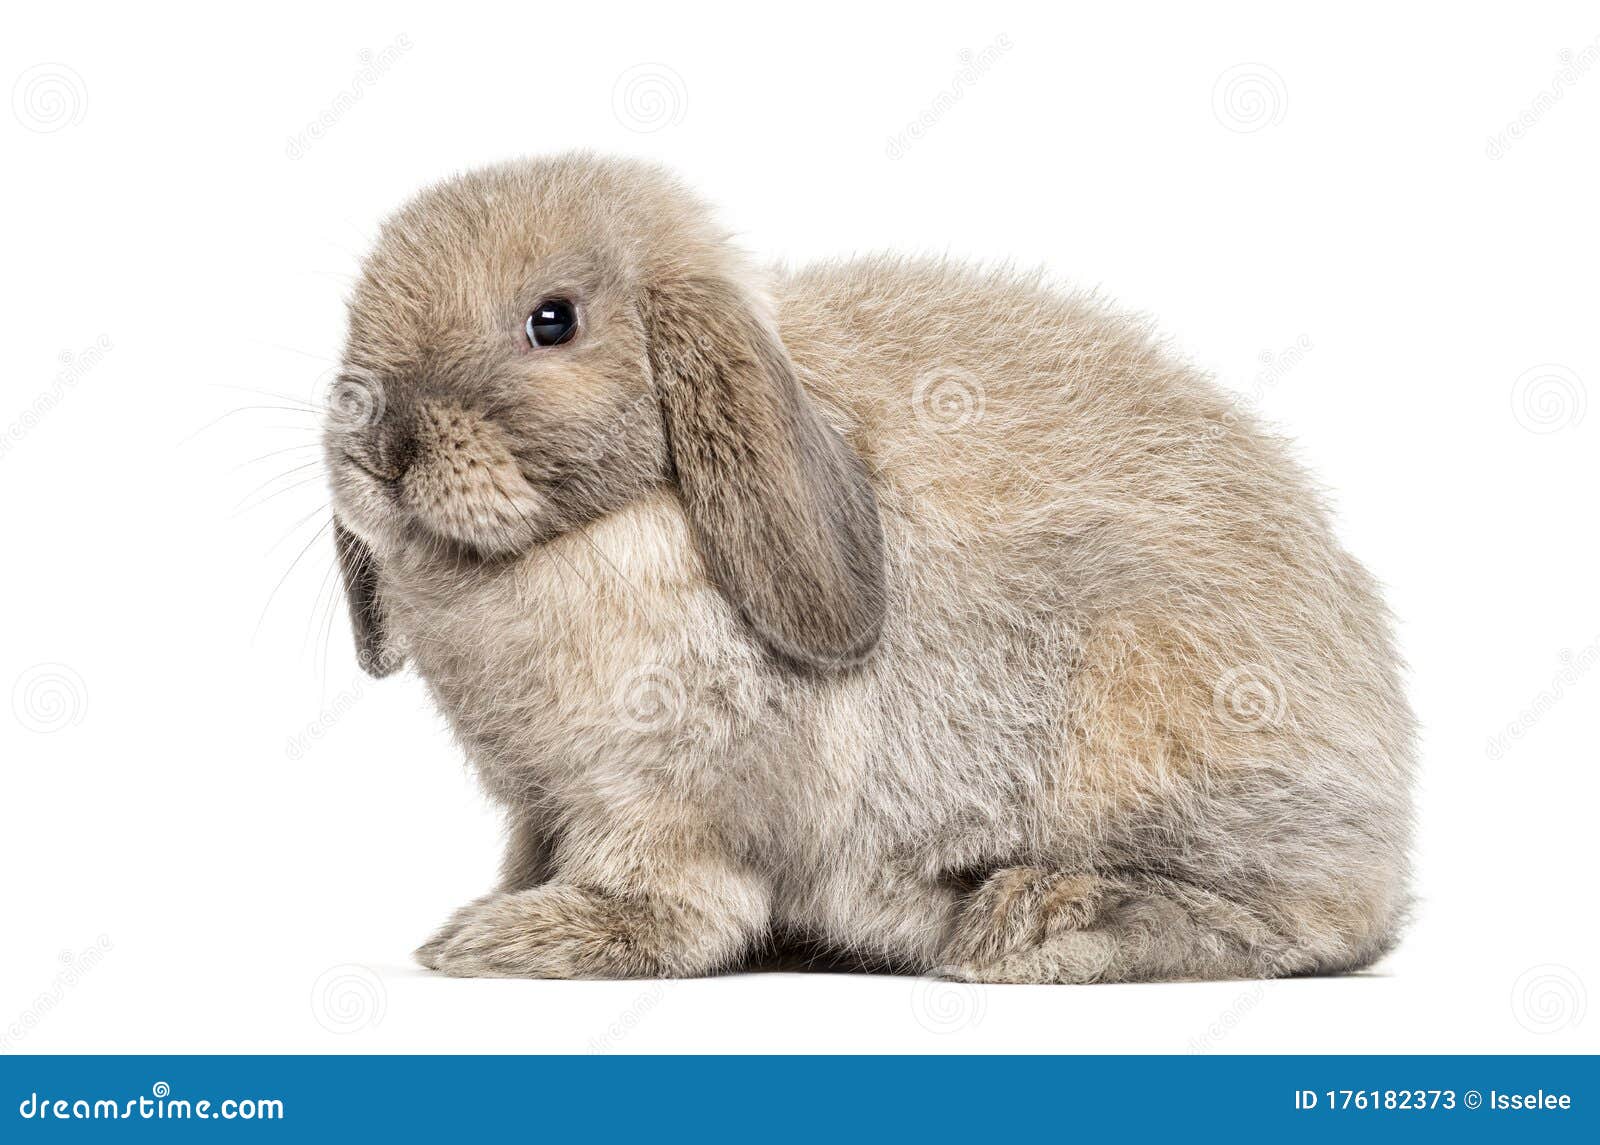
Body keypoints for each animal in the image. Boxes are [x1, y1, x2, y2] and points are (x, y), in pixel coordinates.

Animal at [323, 153, 1415, 983]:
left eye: (552, 320)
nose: (375, 442)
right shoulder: (538, 800)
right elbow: (531, 850)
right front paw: (494, 910)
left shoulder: (666, 796)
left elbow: (664, 891)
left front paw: (520, 938)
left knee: (1310, 921)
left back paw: (1031, 920)